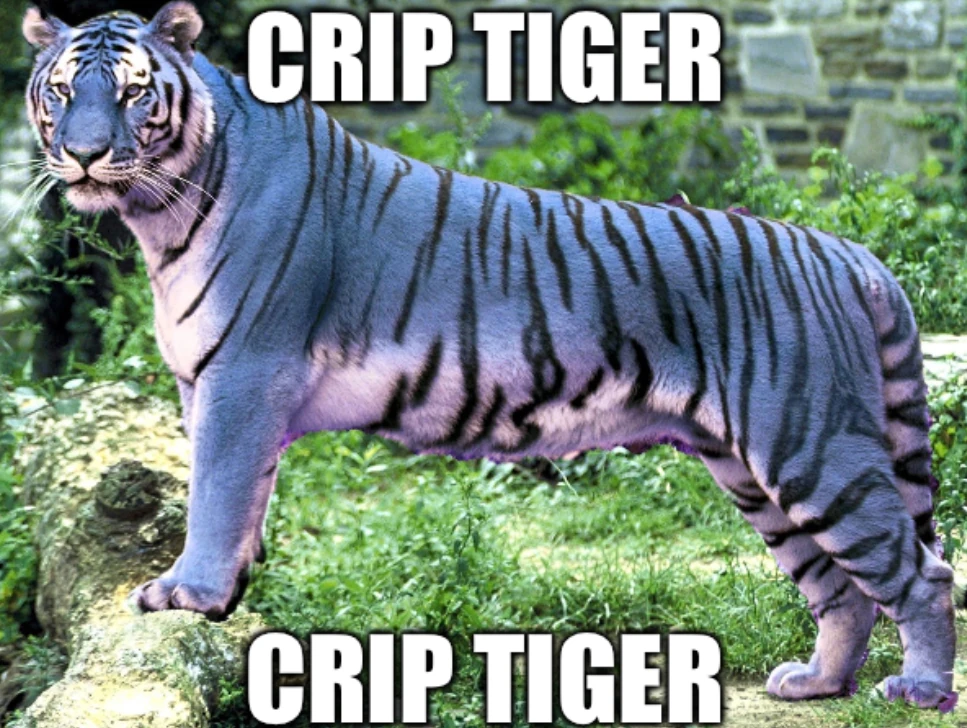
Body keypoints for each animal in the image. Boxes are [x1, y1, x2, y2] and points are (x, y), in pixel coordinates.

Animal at [22, 1, 960, 710]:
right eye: (63, 91)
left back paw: (917, 689)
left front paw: (189, 593)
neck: (164, 212)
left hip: (810, 444)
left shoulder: (243, 374)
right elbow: (239, 496)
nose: (85, 154)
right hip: (753, 471)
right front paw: (230, 592)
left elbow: (215, 494)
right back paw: (817, 683)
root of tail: (847, 252)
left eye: (134, 93)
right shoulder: (207, 384)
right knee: (840, 589)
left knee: (920, 570)